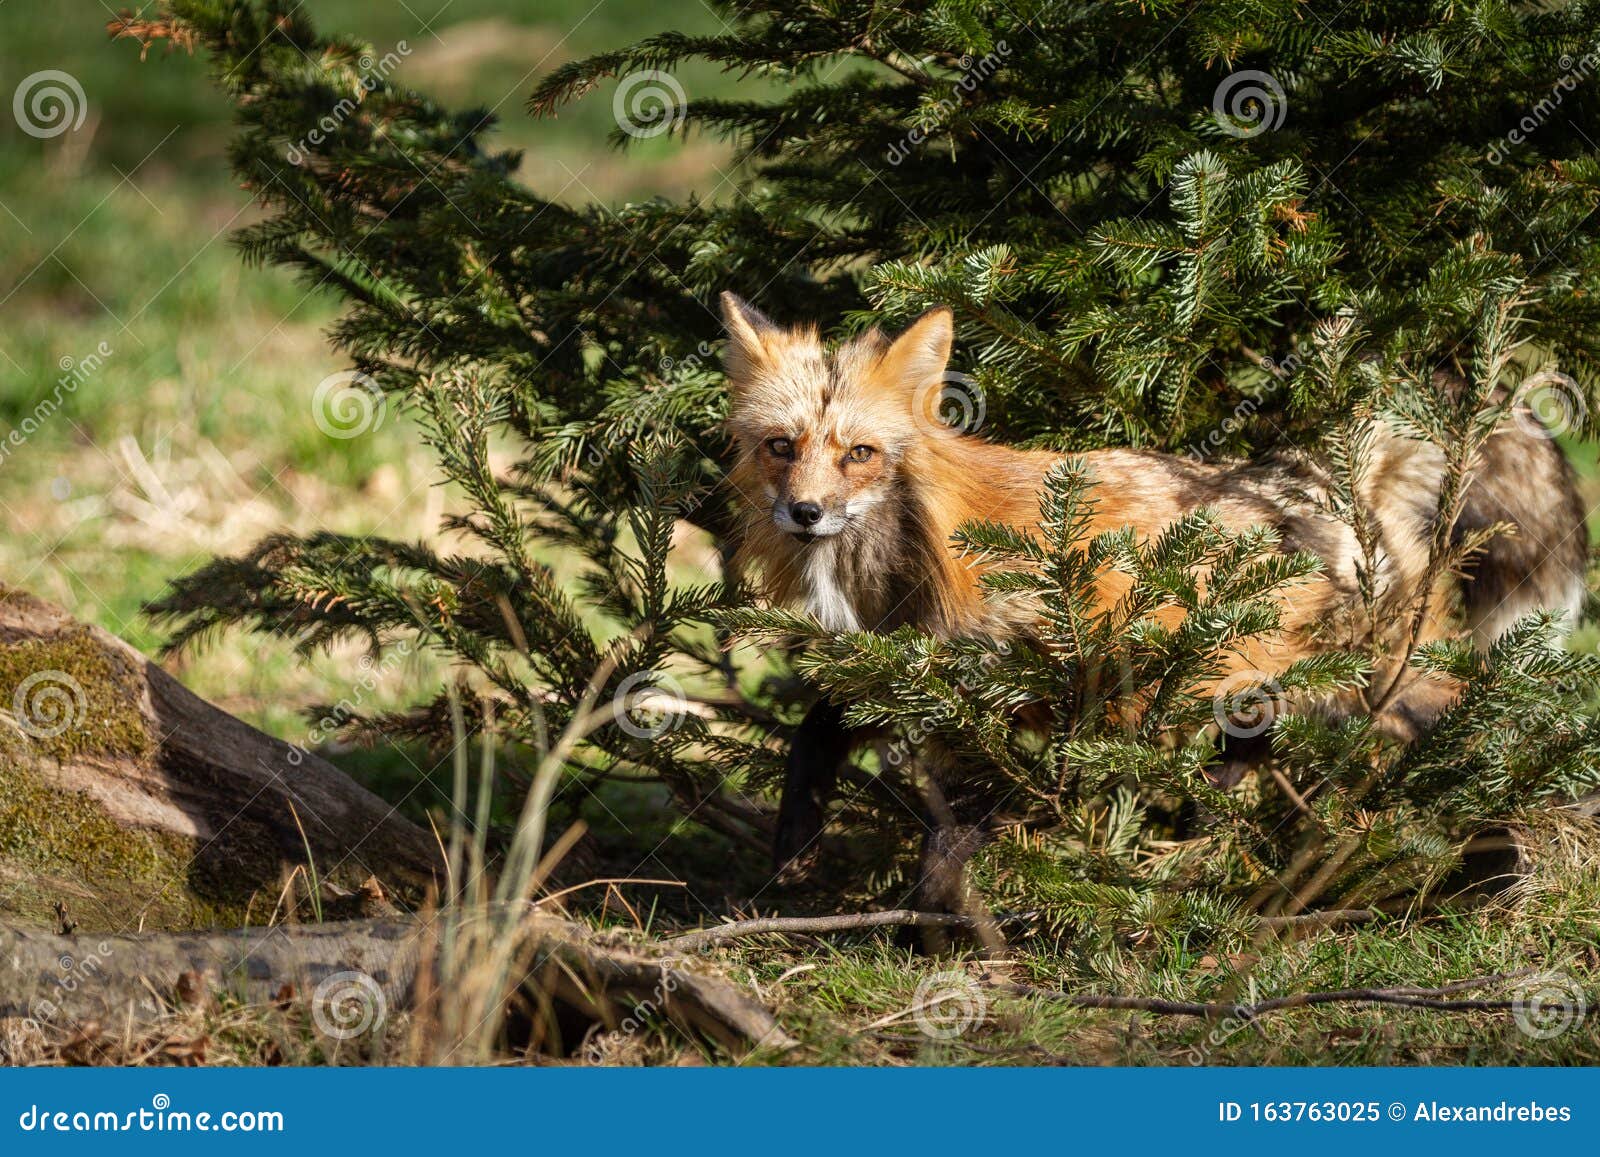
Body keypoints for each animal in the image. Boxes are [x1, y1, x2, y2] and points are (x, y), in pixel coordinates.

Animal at [718, 292, 1589, 905]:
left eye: (859, 453)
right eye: (781, 447)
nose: (804, 513)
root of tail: (1327, 476)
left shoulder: (1050, 681)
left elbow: (968, 823)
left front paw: (935, 913)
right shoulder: (906, 665)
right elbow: (815, 732)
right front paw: (795, 842)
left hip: (1359, 680)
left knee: (1474, 725)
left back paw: (1494, 857)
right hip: (1257, 692)